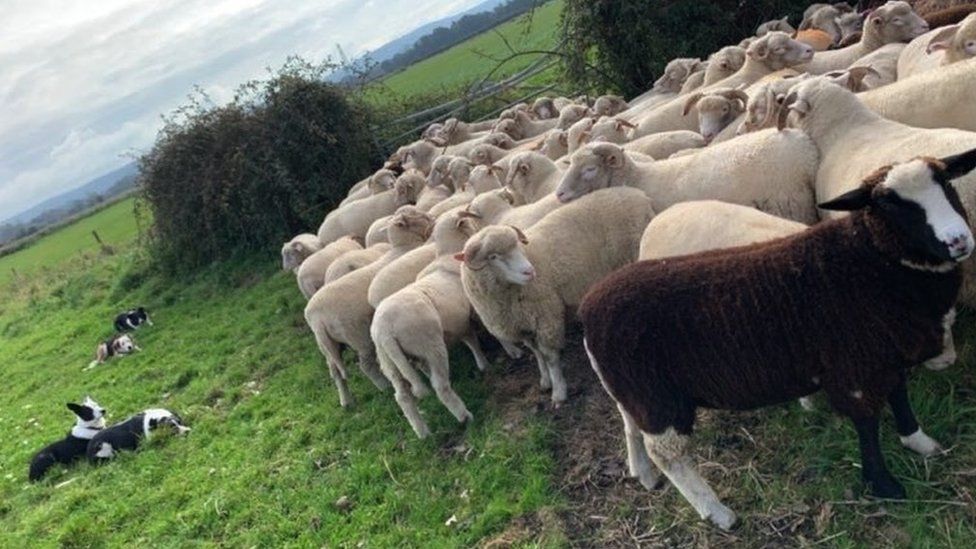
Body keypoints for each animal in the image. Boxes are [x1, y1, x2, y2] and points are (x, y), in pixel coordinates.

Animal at [305, 207, 434, 407]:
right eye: (417, 216)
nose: (433, 219)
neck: (404, 246)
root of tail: (316, 317)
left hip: (328, 345)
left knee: (335, 371)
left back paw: (346, 401)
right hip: (358, 336)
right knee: (365, 365)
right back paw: (383, 386)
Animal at [371, 210, 488, 438]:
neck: (449, 254)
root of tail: (385, 331)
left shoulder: (459, 321)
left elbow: (471, 341)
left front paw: (482, 363)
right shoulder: (471, 312)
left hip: (389, 362)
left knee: (402, 396)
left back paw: (423, 433)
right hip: (430, 346)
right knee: (440, 386)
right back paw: (464, 416)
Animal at [458, 187, 655, 405]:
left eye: (518, 246)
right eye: (493, 257)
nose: (530, 272)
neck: (508, 294)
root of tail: (639, 195)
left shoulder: (546, 317)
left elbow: (550, 357)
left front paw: (559, 391)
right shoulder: (524, 325)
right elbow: (536, 353)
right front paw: (545, 380)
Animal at [579, 151, 976, 529]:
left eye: (946, 183)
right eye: (890, 205)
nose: (958, 241)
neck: (867, 261)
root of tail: (590, 306)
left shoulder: (884, 352)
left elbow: (899, 396)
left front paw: (920, 442)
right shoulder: (855, 366)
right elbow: (867, 424)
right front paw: (883, 485)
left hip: (634, 392)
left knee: (630, 424)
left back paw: (643, 473)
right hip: (656, 397)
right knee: (668, 453)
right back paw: (717, 513)